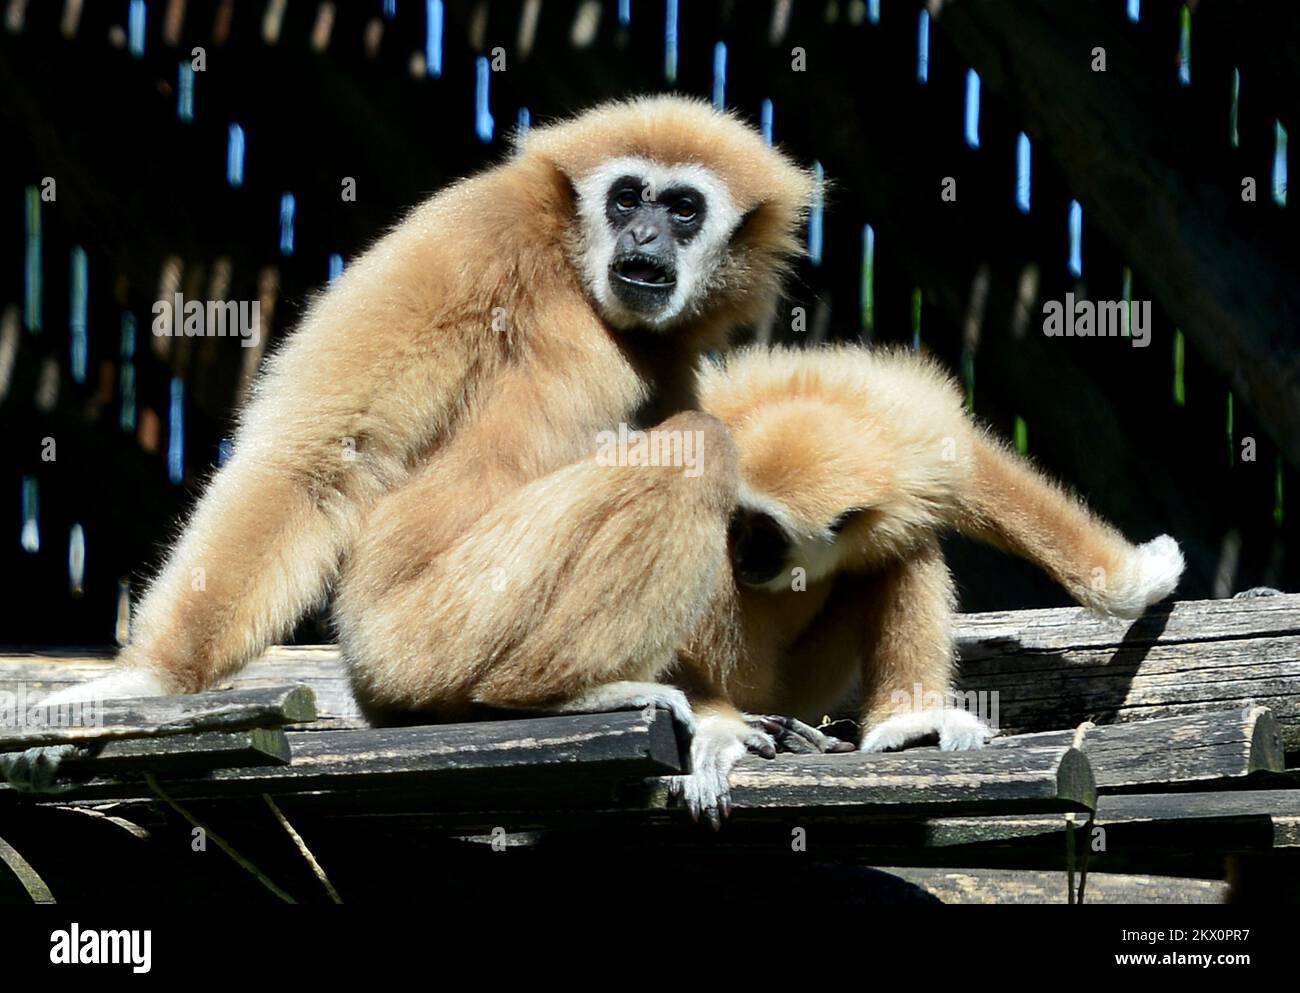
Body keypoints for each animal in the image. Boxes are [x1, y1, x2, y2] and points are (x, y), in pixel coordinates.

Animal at [1, 97, 816, 809]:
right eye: (625, 198)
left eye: (681, 209)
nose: (644, 237)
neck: (566, 257)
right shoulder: (477, 228)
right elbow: (314, 459)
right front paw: (150, 685)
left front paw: (720, 723)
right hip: (427, 630)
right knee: (699, 448)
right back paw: (555, 693)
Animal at [656, 342, 1186, 821]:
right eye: (738, 521)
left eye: (767, 535)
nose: (745, 553)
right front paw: (714, 733)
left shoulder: (911, 445)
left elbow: (980, 476)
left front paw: (1139, 580)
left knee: (902, 546)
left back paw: (908, 721)